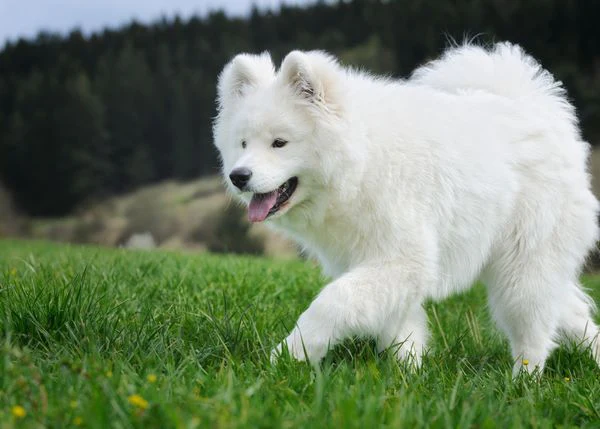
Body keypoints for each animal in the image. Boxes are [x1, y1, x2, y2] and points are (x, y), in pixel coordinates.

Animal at [212, 41, 600, 372]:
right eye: (243, 143)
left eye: (279, 143)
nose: (238, 176)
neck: (361, 159)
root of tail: (539, 111)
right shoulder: (380, 265)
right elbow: (399, 329)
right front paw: (407, 377)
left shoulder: (401, 259)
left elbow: (332, 302)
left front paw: (290, 355)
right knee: (571, 312)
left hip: (521, 270)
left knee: (533, 334)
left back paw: (523, 384)